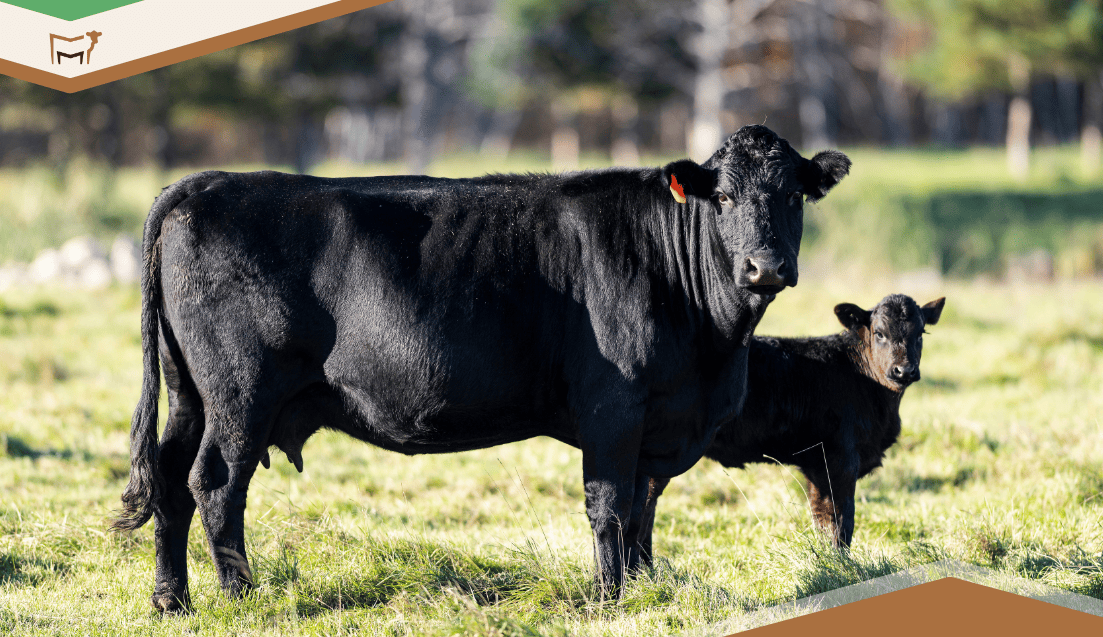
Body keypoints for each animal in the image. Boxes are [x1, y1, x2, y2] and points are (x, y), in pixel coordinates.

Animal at [111, 125, 850, 611]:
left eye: (793, 196)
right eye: (721, 197)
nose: (764, 267)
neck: (713, 350)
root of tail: (209, 182)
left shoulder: (661, 424)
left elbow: (645, 507)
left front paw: (646, 587)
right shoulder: (614, 409)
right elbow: (611, 505)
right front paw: (609, 598)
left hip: (190, 395)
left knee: (172, 481)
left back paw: (171, 599)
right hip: (240, 394)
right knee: (215, 483)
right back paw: (242, 596)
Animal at [637, 294, 945, 561]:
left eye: (920, 333)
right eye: (879, 333)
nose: (904, 371)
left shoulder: (816, 466)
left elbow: (822, 518)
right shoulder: (840, 459)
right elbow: (842, 520)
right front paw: (844, 566)